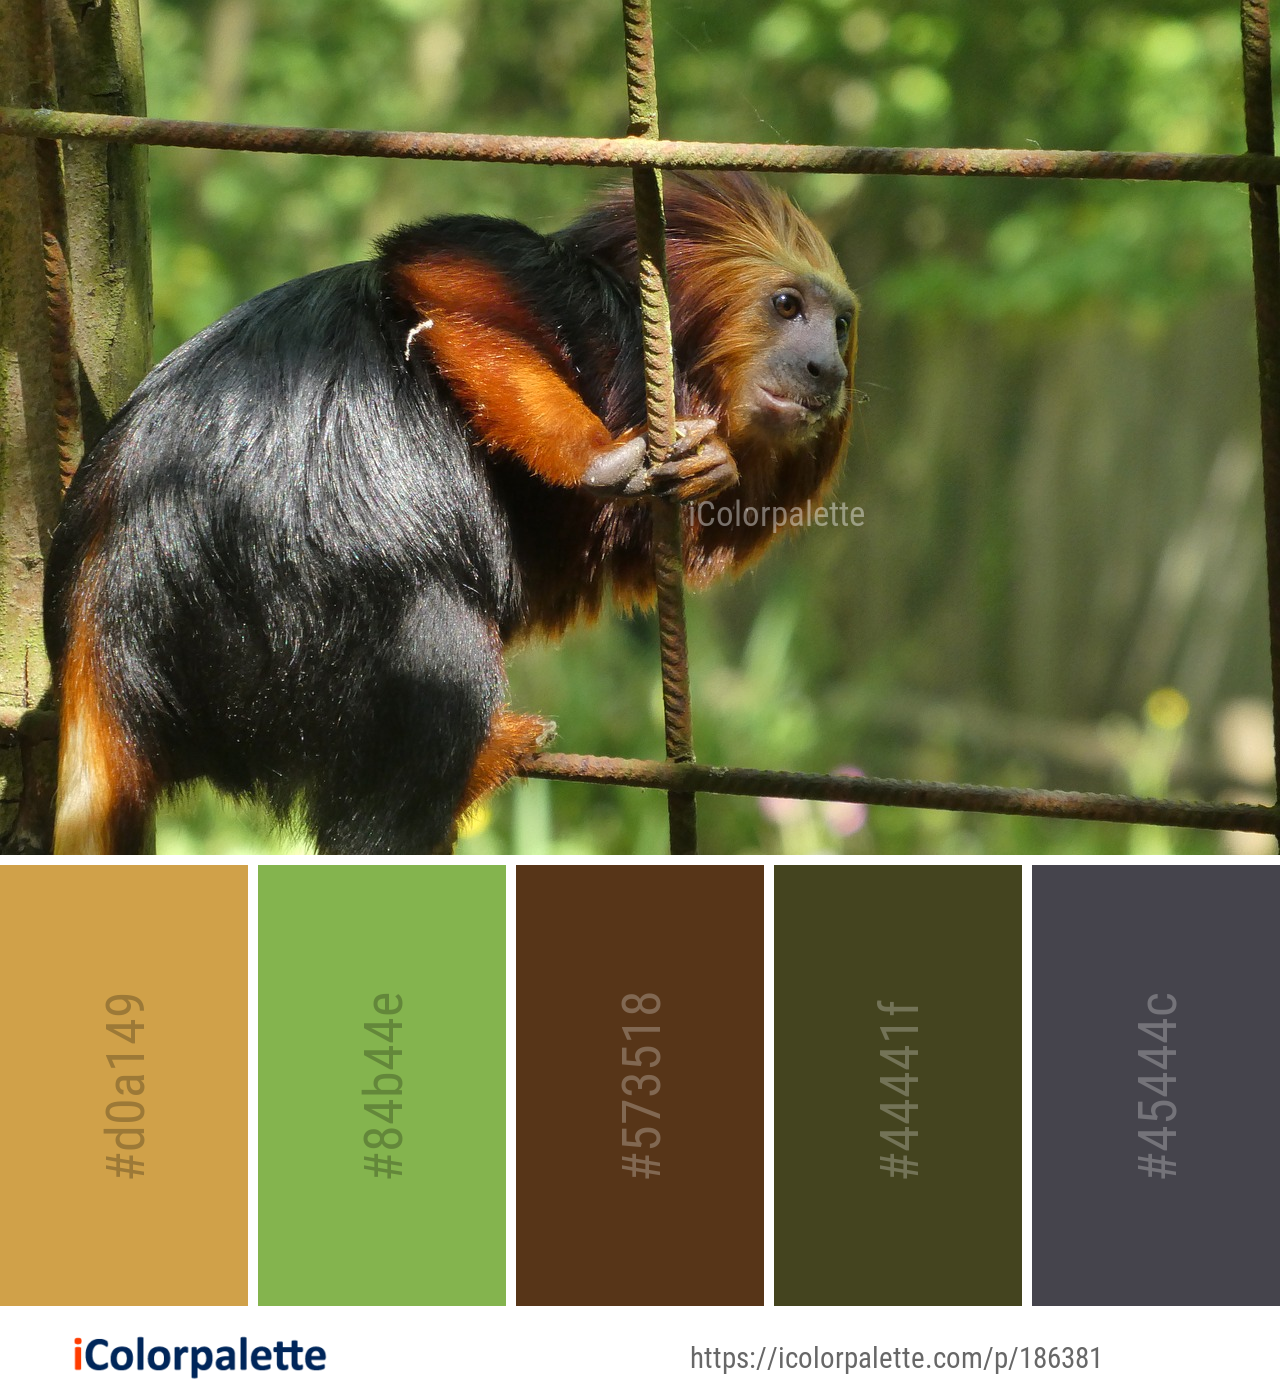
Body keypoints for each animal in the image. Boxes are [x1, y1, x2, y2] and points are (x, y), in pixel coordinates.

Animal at [43, 171, 858, 855]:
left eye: (840, 327)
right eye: (788, 307)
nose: (827, 368)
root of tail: (102, 616)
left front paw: (713, 464)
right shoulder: (580, 299)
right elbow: (437, 273)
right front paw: (593, 456)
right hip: (259, 616)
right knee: (433, 642)